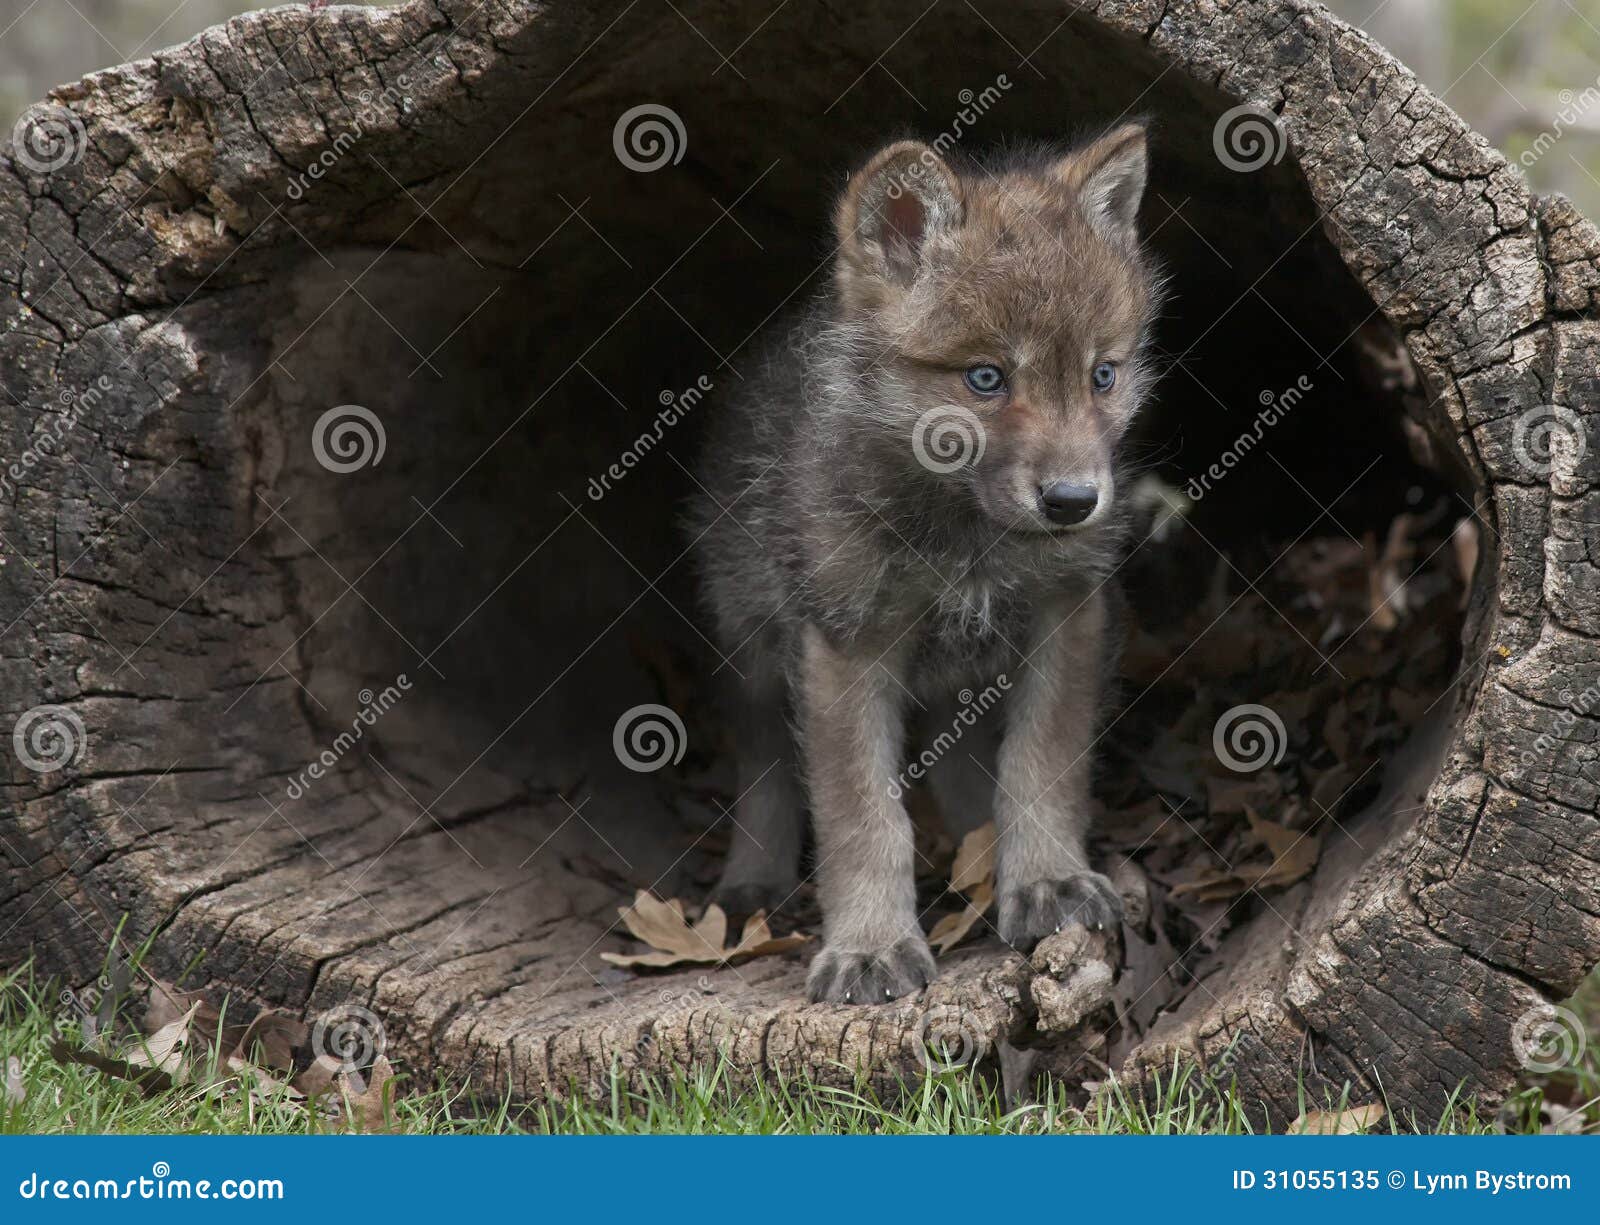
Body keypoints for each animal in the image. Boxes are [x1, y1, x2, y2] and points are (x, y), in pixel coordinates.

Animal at [691, 122, 1162, 1004]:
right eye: (986, 378)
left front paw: (1045, 882)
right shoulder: (847, 640)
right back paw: (750, 885)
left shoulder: (1068, 609)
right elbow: (861, 814)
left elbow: (1038, 763)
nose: (1074, 500)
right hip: (751, 645)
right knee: (766, 766)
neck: (965, 537)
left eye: (1102, 375)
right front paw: (870, 948)